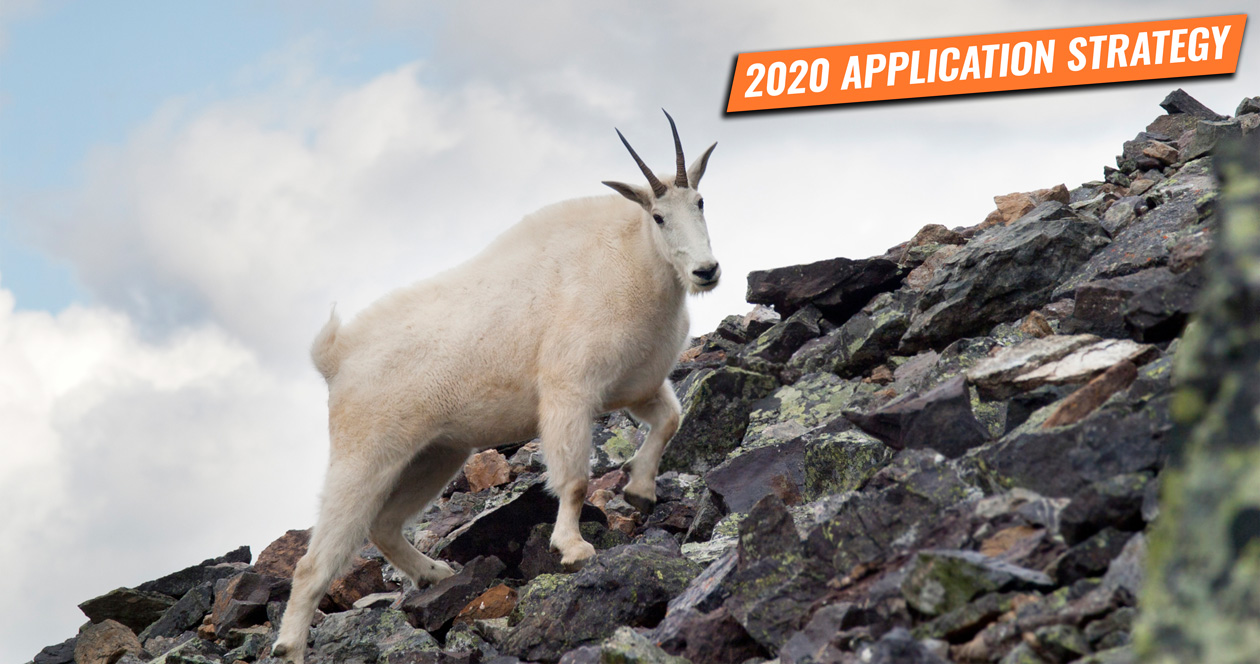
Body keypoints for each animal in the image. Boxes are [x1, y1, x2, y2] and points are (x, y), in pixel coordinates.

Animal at [271, 110, 718, 663]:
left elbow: (670, 421)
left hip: (434, 453)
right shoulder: (569, 392)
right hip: (364, 456)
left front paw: (639, 491)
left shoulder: (636, 388)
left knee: (384, 524)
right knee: (316, 561)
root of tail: (336, 357)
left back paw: (435, 572)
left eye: (700, 202)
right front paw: (573, 549)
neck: (633, 263)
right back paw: (290, 646)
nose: (707, 270)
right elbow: (573, 479)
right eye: (657, 216)